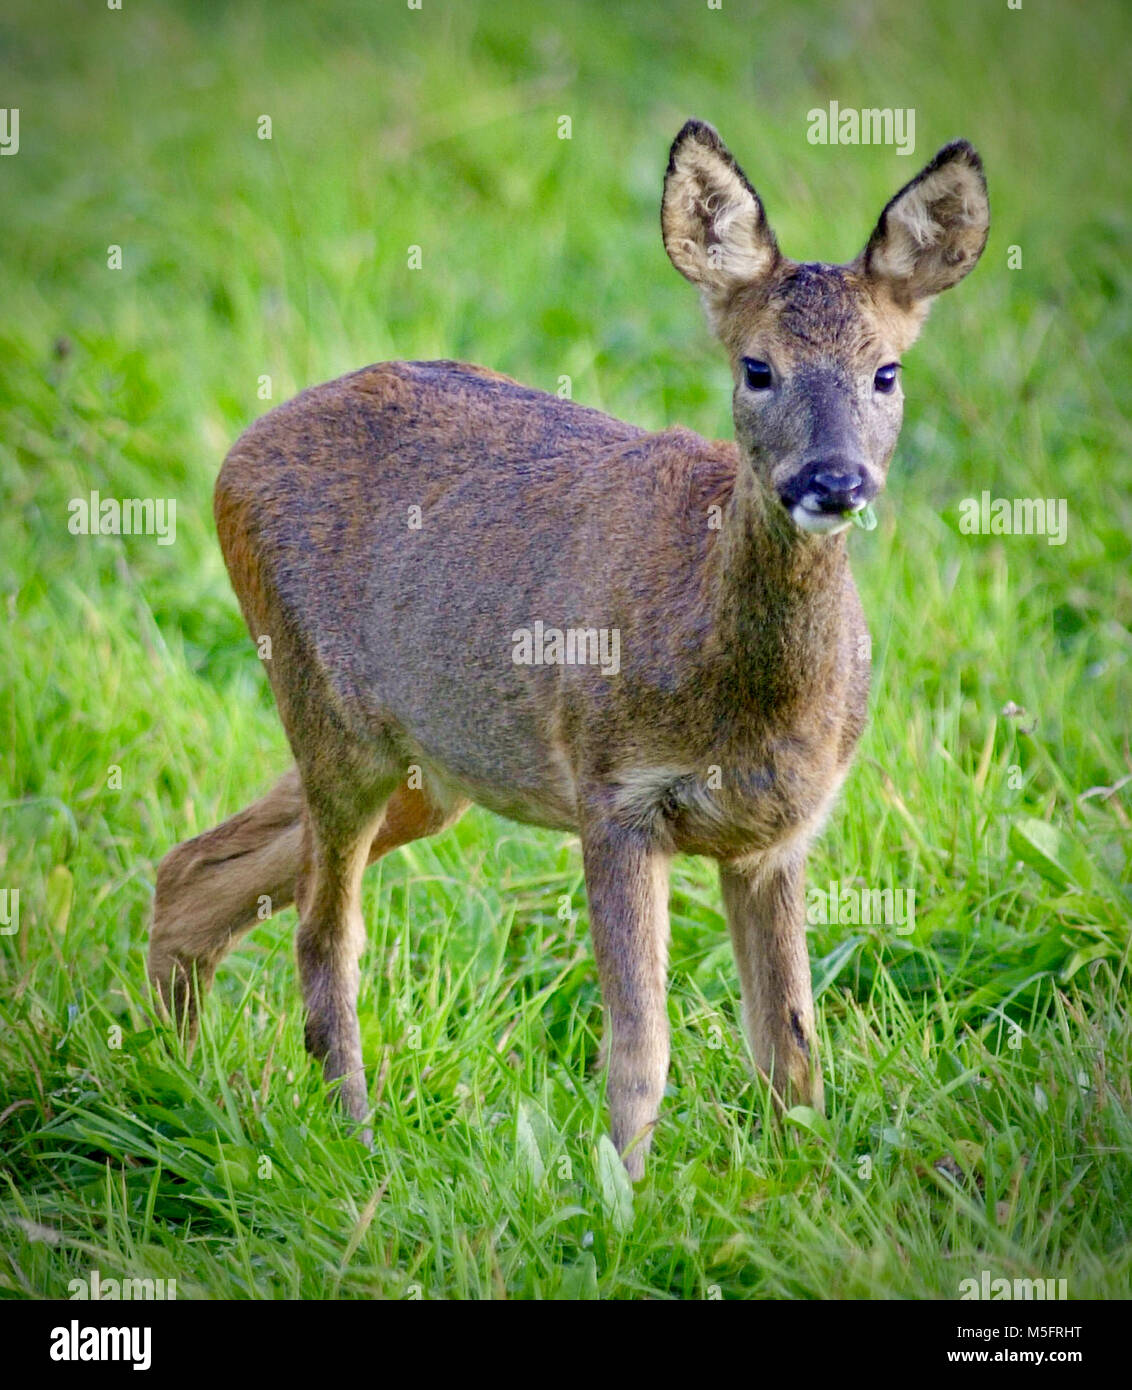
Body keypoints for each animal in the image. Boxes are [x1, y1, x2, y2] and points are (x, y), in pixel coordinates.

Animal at [149, 120, 988, 1179]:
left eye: (888, 373)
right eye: (756, 368)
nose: (834, 480)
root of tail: (233, 455)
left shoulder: (780, 831)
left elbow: (791, 1044)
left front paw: (804, 1181)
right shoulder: (614, 794)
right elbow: (641, 1045)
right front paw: (619, 1192)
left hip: (430, 769)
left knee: (192, 872)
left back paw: (180, 1084)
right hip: (327, 712)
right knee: (320, 933)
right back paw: (354, 1143)